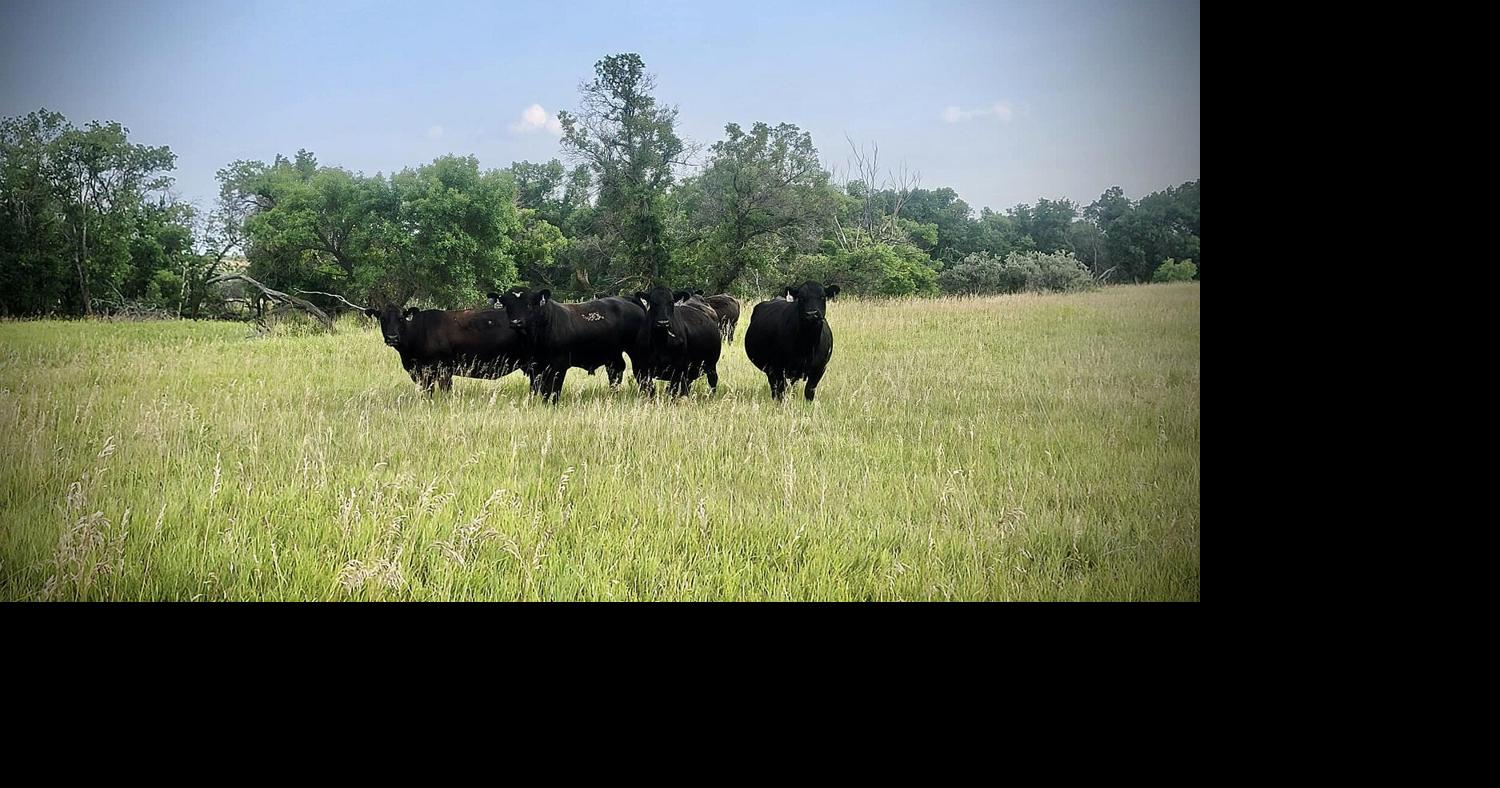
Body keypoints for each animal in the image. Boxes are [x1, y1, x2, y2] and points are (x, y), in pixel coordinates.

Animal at [496, 288, 647, 403]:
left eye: (528, 304)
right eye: (507, 305)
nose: (516, 322)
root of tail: (626, 299)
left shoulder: (559, 366)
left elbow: (553, 391)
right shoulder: (536, 366)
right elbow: (537, 389)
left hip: (636, 350)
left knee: (640, 372)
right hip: (613, 353)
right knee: (616, 370)